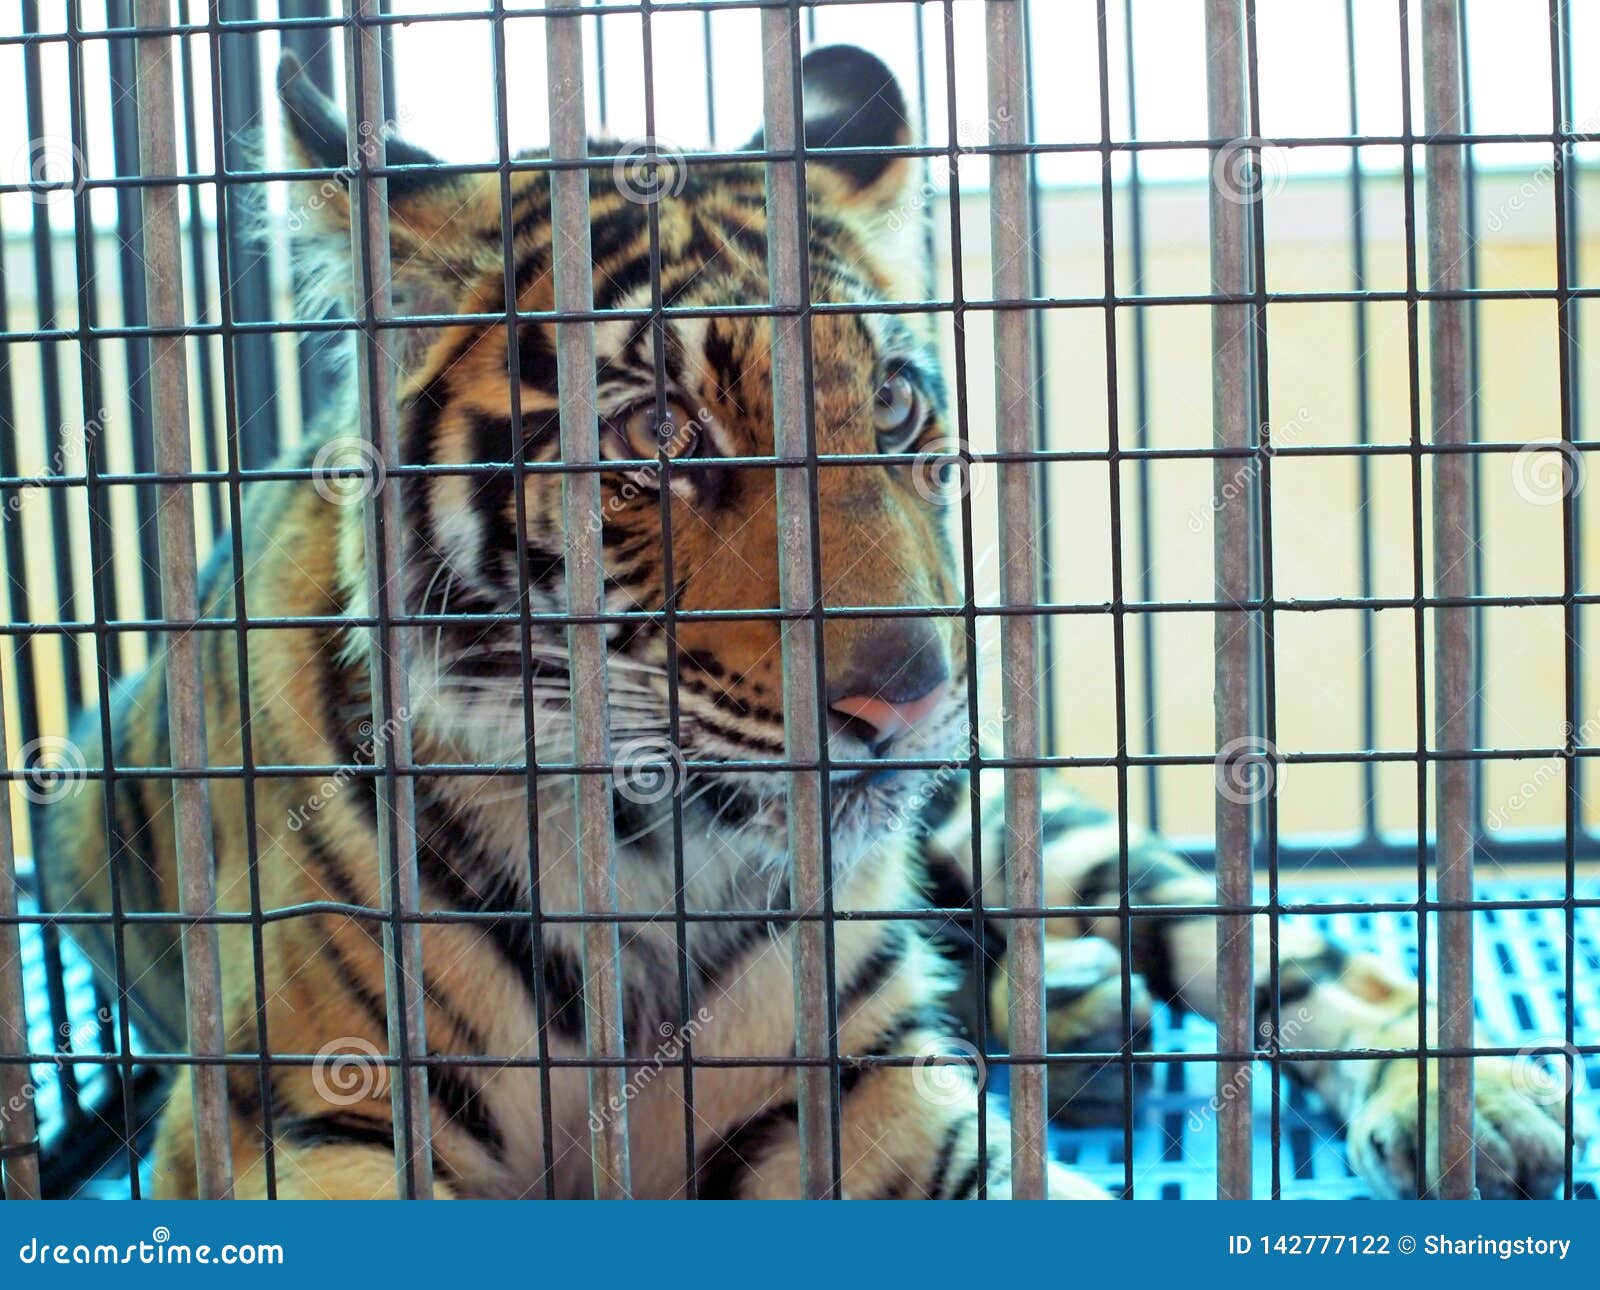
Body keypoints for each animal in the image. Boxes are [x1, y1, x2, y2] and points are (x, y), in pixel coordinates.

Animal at [45, 44, 1569, 1200]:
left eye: (891, 402)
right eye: (658, 435)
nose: (916, 695)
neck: (650, 869)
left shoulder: (876, 1103)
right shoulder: (302, 1120)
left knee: (1286, 946)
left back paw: (1471, 1105)